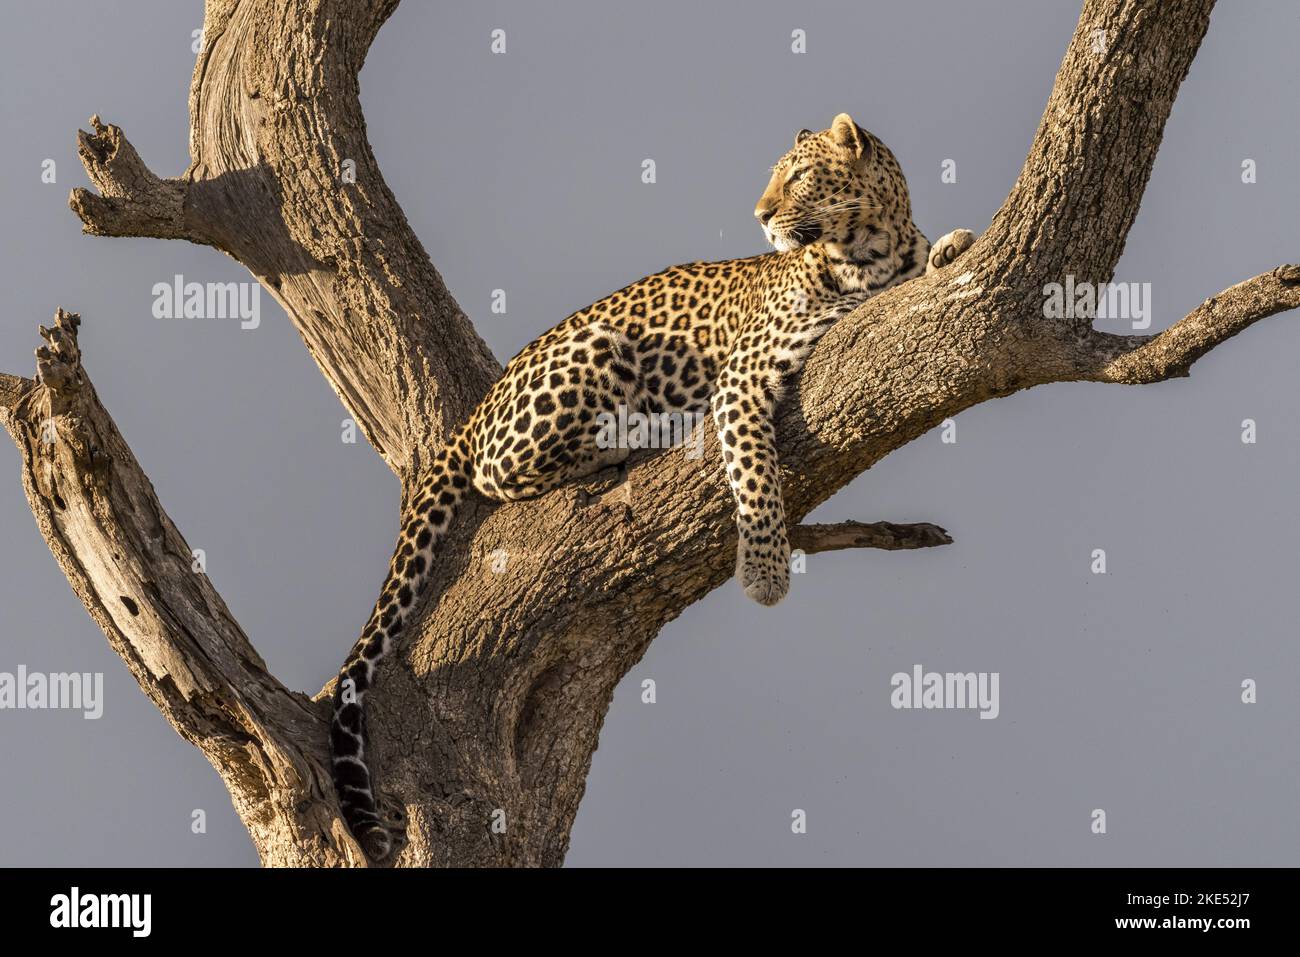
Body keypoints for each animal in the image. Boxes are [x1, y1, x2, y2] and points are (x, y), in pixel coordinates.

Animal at [330, 113, 976, 859]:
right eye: (777, 177)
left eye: (799, 176)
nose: (760, 215)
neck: (875, 247)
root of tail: (477, 409)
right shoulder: (744, 373)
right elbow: (754, 471)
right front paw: (765, 572)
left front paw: (953, 245)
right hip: (593, 352)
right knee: (499, 471)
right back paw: (636, 438)